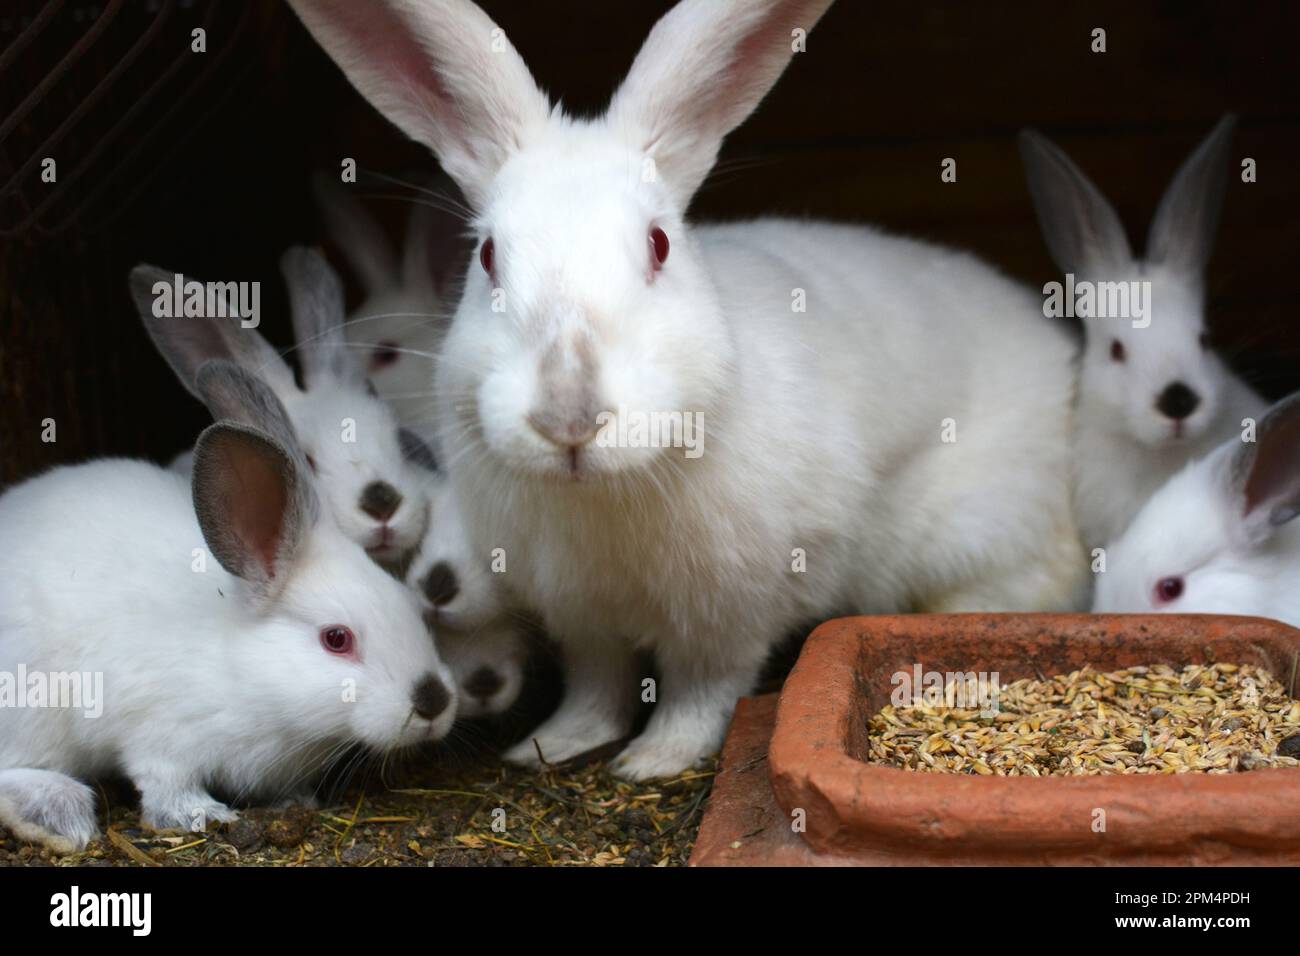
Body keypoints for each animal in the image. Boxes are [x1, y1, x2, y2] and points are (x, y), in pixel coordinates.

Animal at [0, 359, 457, 853]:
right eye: (336, 639)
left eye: (409, 604)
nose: (434, 703)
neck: (240, 667)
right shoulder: (159, 733)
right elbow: (165, 785)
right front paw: (200, 814)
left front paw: (295, 799)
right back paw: (60, 813)